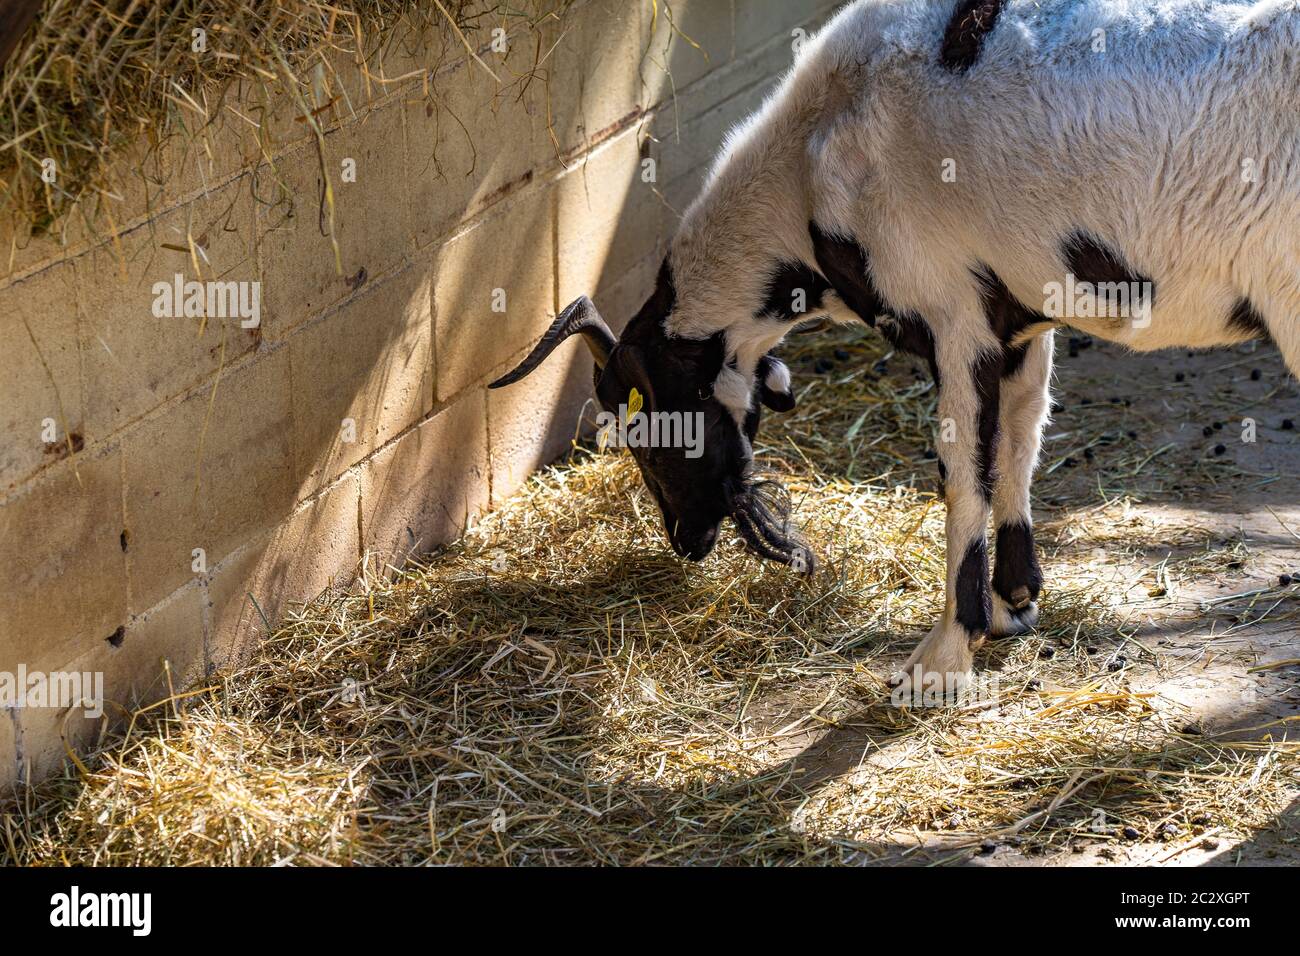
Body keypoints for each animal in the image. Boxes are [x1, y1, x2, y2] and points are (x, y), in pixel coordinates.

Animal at [491, 0, 1300, 695]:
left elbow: (963, 473)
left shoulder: (957, 314)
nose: (686, 540)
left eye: (652, 438)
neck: (812, 162)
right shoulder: (1020, 317)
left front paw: (943, 656)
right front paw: (1015, 603)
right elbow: (1019, 445)